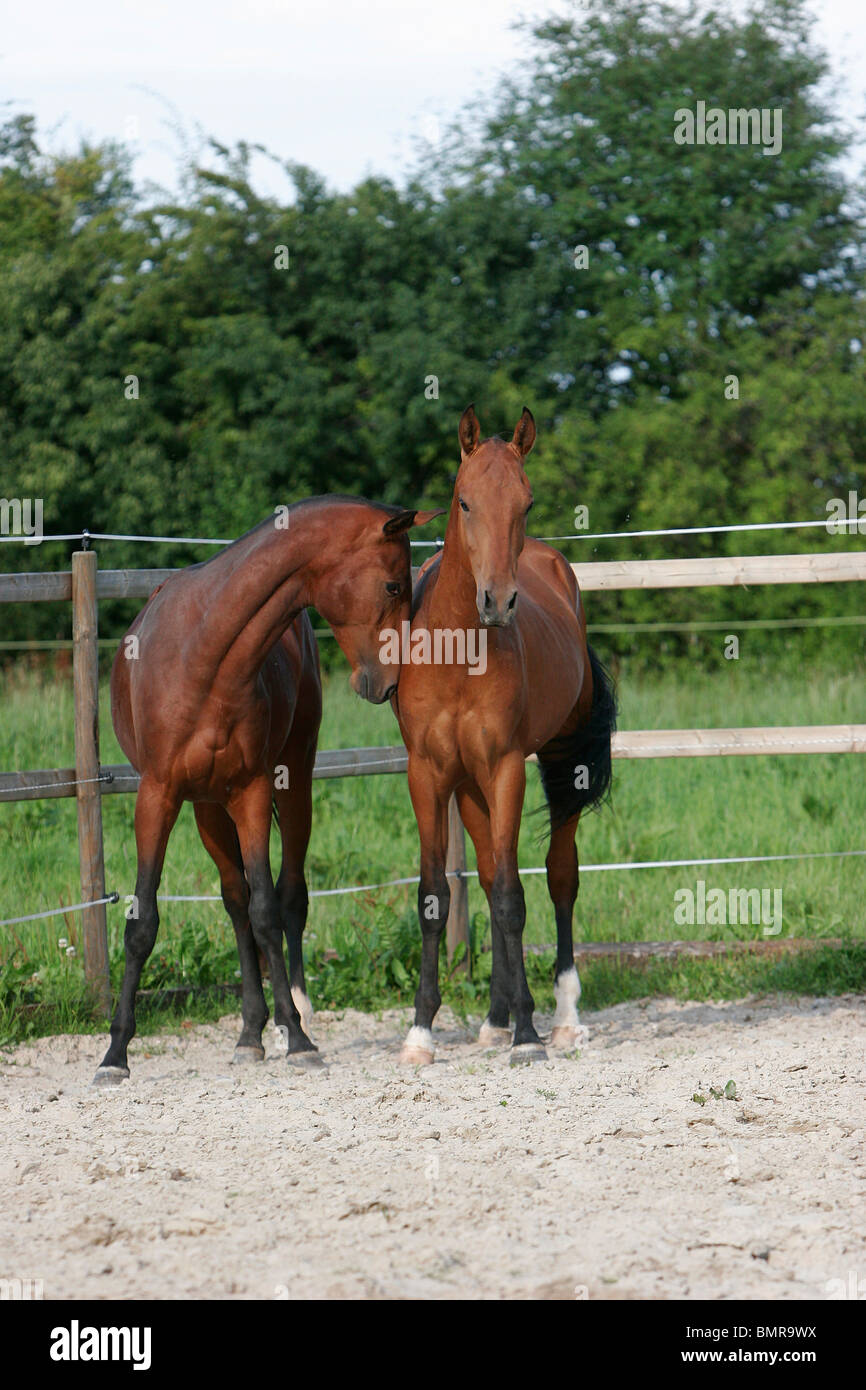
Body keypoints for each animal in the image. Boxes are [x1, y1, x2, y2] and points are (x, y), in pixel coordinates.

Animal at [93, 496, 441, 1086]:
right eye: (394, 585)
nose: (391, 684)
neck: (206, 653)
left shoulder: (253, 792)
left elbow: (267, 913)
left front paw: (298, 1038)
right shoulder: (158, 796)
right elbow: (145, 921)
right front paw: (115, 1053)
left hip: (291, 783)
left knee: (287, 896)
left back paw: (287, 1015)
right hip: (207, 810)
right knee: (235, 901)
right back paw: (251, 1032)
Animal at [391, 406, 616, 1065]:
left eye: (527, 502)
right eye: (464, 501)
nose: (497, 600)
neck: (459, 652)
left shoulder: (508, 767)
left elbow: (517, 898)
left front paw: (528, 1036)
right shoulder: (428, 773)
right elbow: (438, 896)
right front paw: (420, 1034)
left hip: (560, 761)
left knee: (560, 876)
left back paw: (562, 1018)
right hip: (468, 786)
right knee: (489, 878)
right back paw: (495, 1018)